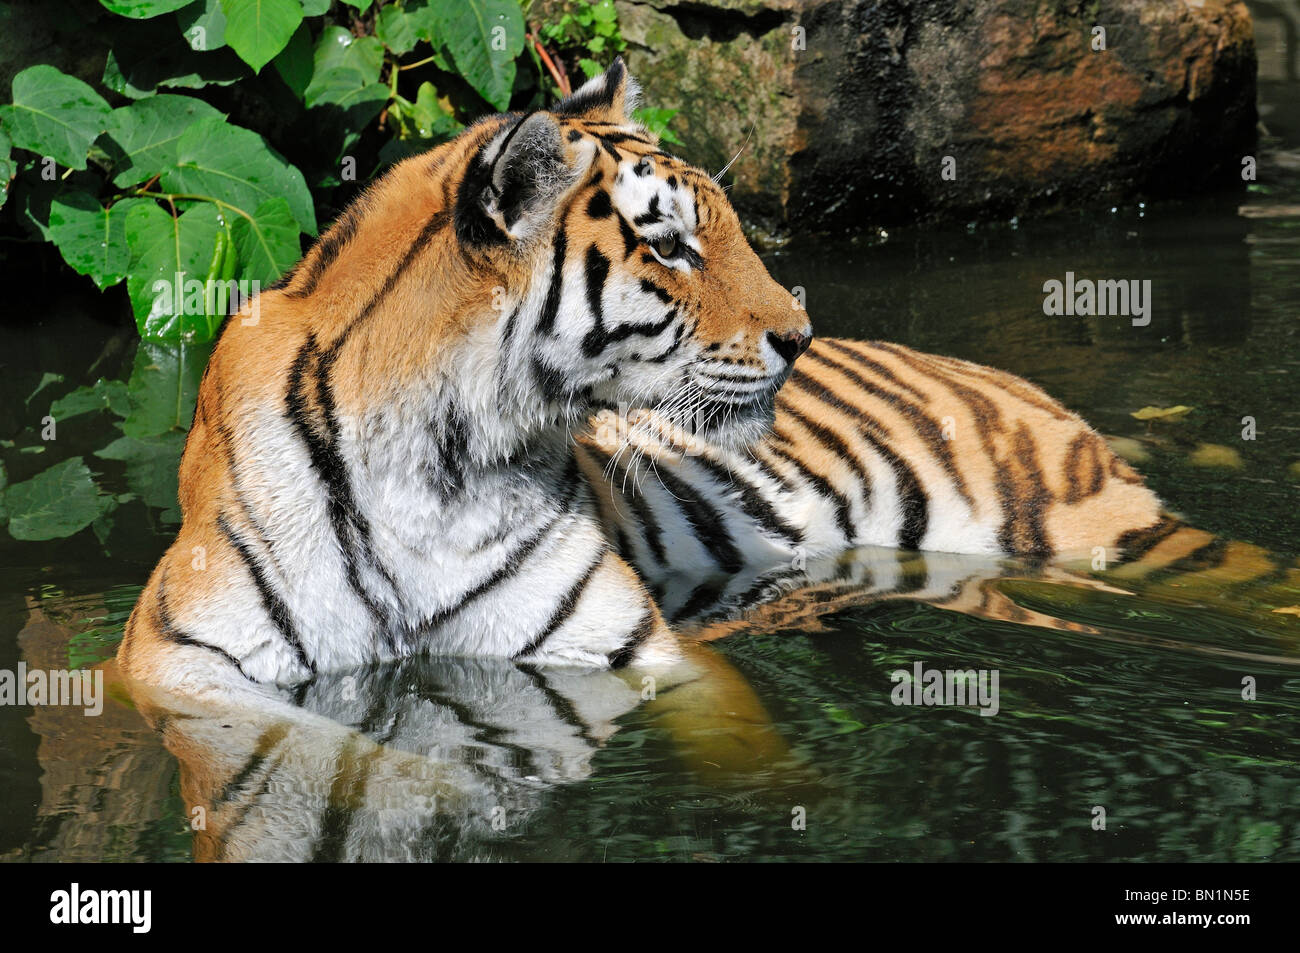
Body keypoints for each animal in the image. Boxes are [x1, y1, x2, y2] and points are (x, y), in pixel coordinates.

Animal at [117, 58, 1173, 698]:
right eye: (668, 245)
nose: (801, 334)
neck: (434, 458)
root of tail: (1029, 389)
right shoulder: (178, 660)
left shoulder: (632, 642)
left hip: (1099, 528)